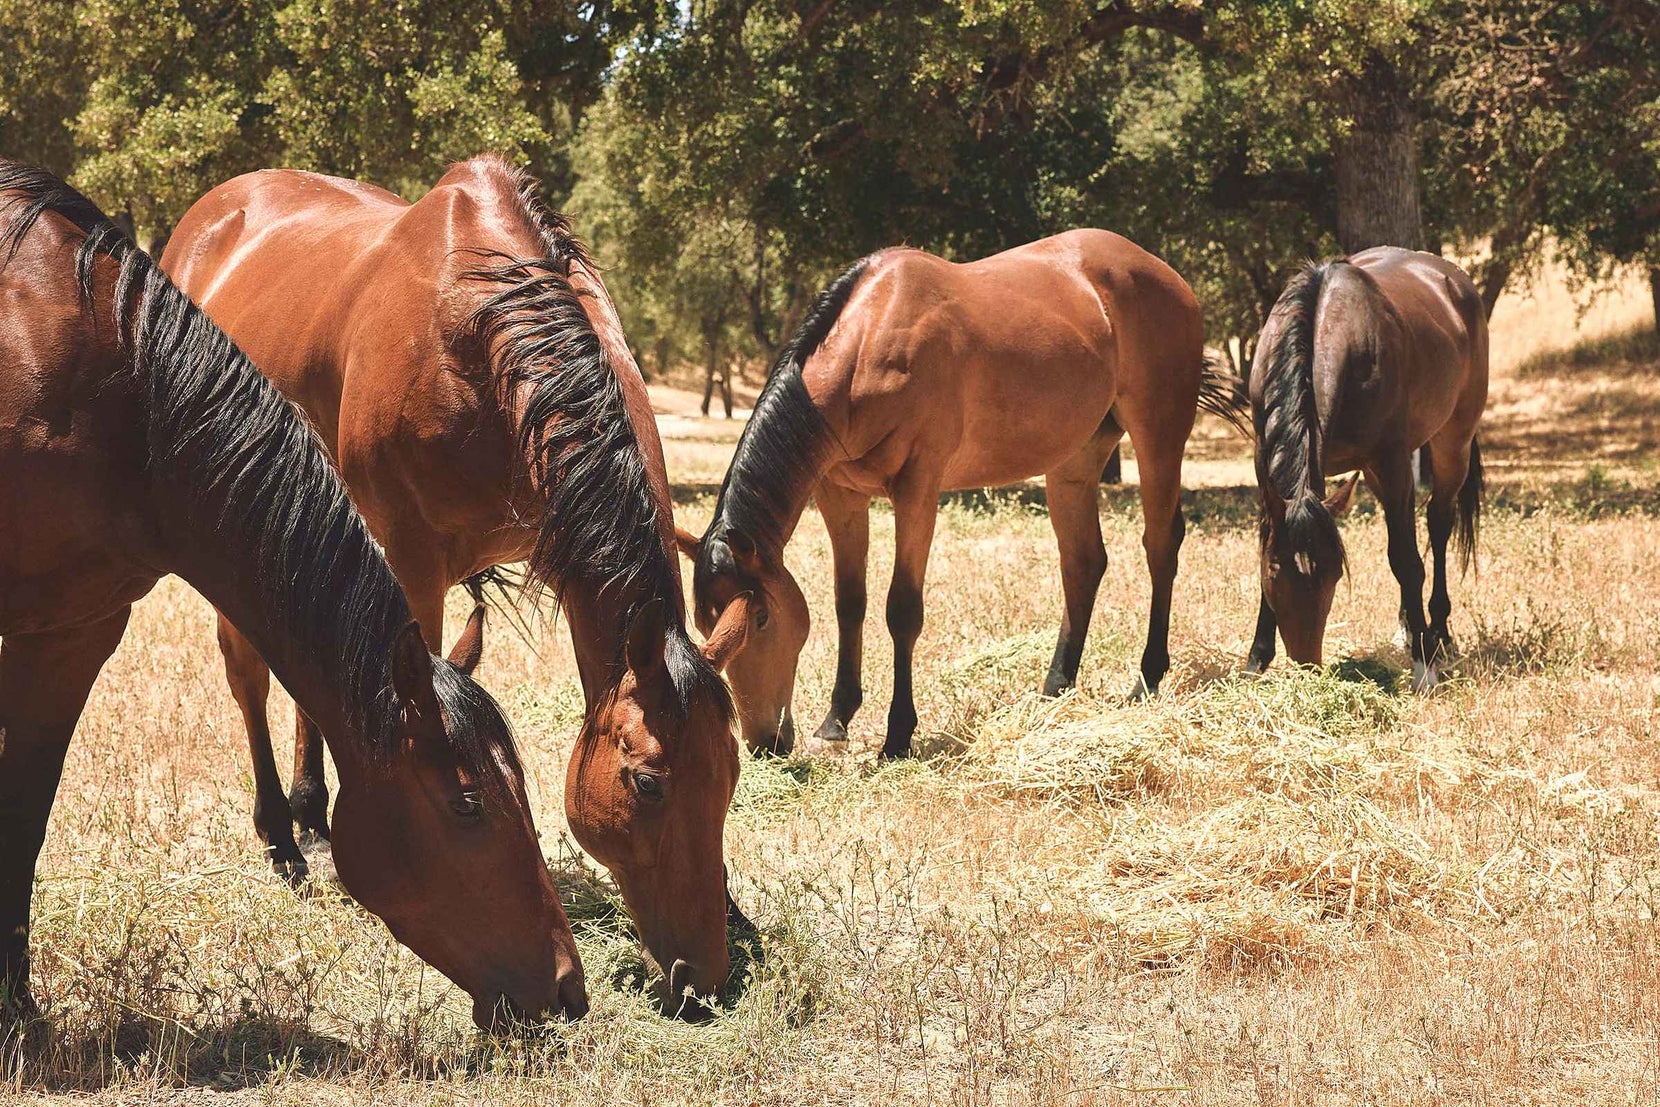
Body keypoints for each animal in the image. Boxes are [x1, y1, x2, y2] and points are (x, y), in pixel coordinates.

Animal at [162, 157, 749, 1006]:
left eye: (731, 775)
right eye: (648, 784)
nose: (700, 977)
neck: (480, 335)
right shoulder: (412, 565)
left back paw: (310, 815)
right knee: (248, 675)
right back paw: (281, 835)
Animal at [679, 231, 1243, 758]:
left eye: (761, 618)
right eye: (704, 622)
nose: (765, 741)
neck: (870, 339)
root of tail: (1167, 275)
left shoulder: (918, 491)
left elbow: (901, 610)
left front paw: (898, 735)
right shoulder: (840, 496)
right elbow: (849, 603)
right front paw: (836, 720)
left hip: (1158, 437)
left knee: (1160, 545)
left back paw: (1146, 679)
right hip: (1075, 461)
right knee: (1083, 563)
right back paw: (1055, 687)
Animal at [1243, 247, 1488, 690]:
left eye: (1334, 575)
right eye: (1276, 572)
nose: (1306, 664)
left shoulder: (1392, 461)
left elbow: (1405, 560)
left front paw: (1424, 666)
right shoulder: (1263, 461)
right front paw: (1257, 659)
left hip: (1452, 443)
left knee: (1437, 525)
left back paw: (1439, 636)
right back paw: (1411, 628)